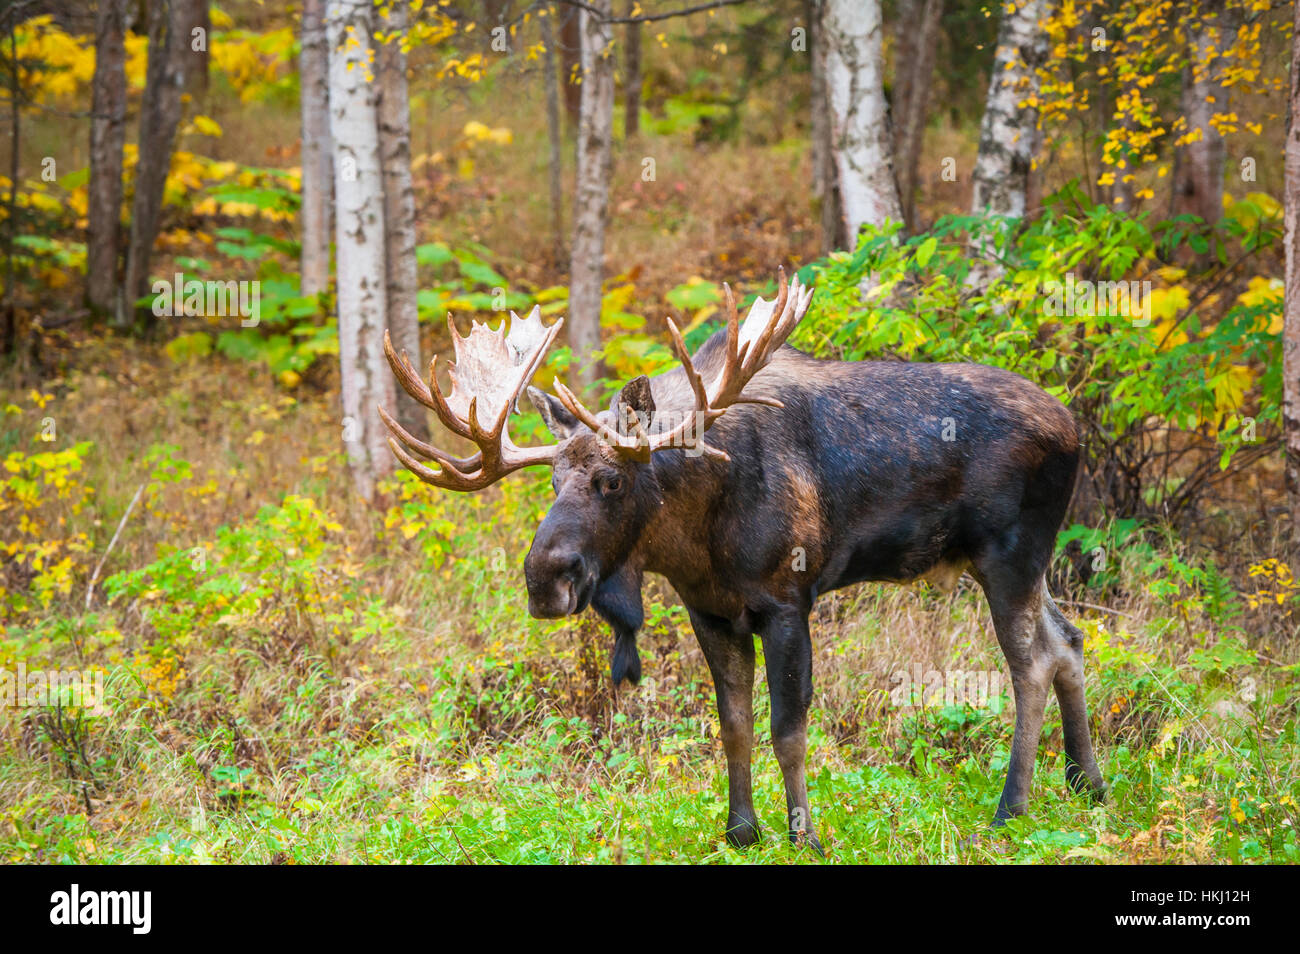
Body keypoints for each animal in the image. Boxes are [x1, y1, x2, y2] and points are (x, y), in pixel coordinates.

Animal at [378, 270, 1107, 851]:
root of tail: (1076, 429)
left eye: (610, 481)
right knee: (1070, 640)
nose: (543, 580)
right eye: (553, 481)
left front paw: (805, 835)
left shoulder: (787, 601)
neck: (698, 538)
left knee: (1032, 664)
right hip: (1027, 564)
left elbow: (788, 729)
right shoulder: (710, 612)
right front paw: (740, 830)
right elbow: (732, 725)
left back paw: (1012, 807)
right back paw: (1087, 783)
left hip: (1009, 553)